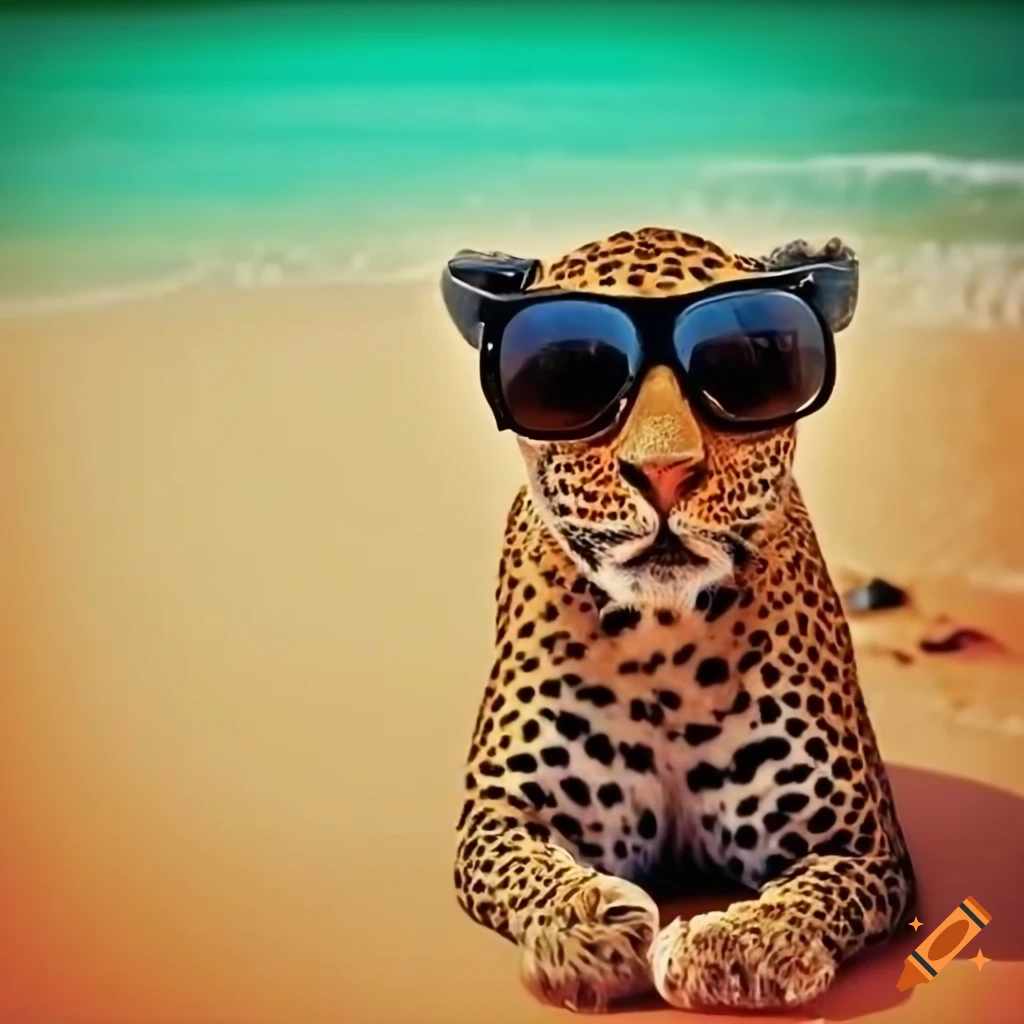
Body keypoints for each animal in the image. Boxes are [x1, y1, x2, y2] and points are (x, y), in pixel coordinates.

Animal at [450, 226, 916, 1013]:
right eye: (568, 372)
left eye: (749, 362)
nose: (664, 471)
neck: (661, 640)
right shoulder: (496, 815)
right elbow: (531, 869)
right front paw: (587, 928)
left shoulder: (862, 843)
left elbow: (809, 899)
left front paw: (732, 946)